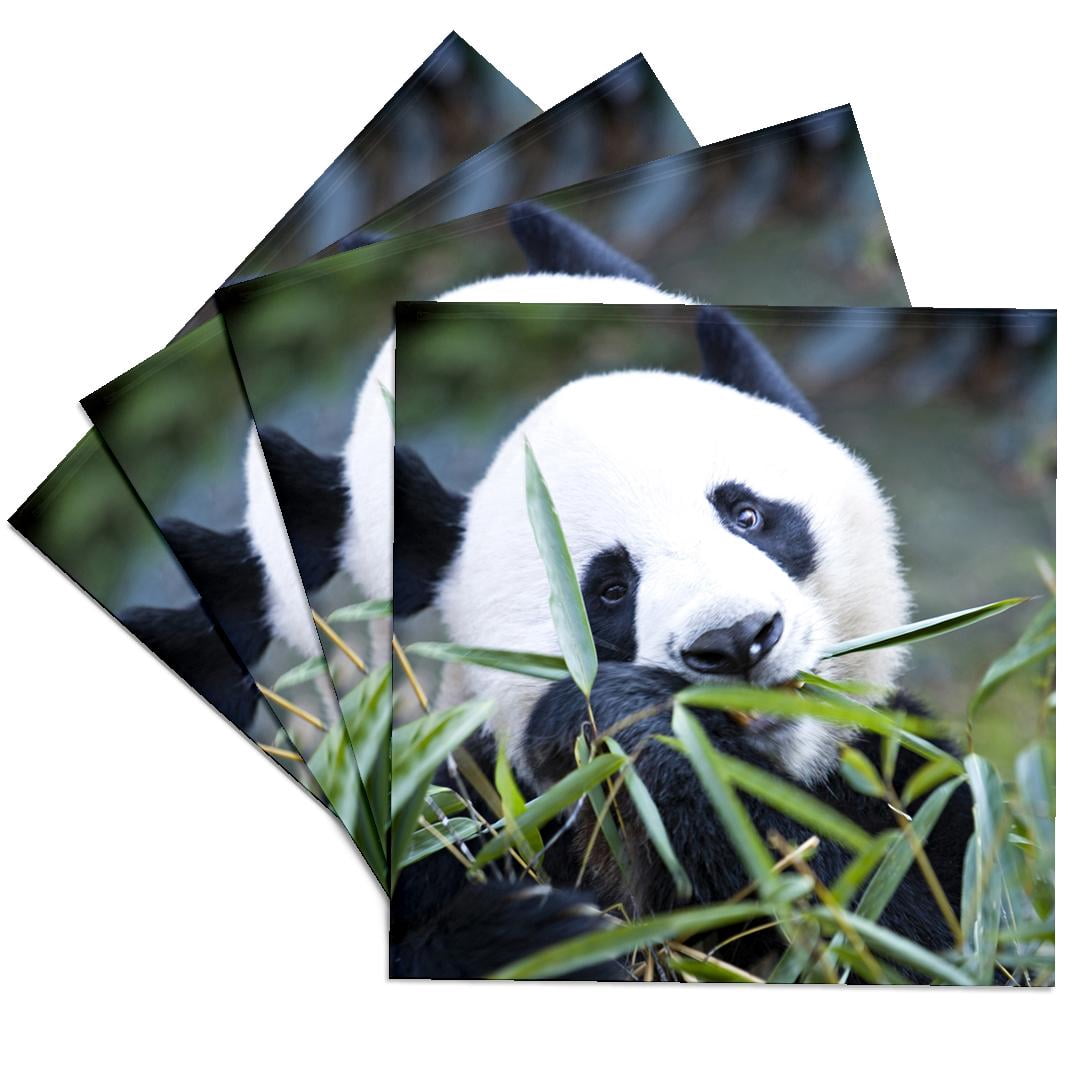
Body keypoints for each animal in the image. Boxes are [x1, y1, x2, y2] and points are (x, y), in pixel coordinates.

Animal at [388, 303, 974, 981]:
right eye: (611, 590)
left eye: (747, 515)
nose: (737, 639)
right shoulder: (454, 803)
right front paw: (535, 934)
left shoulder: (910, 777)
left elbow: (915, 931)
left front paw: (640, 723)